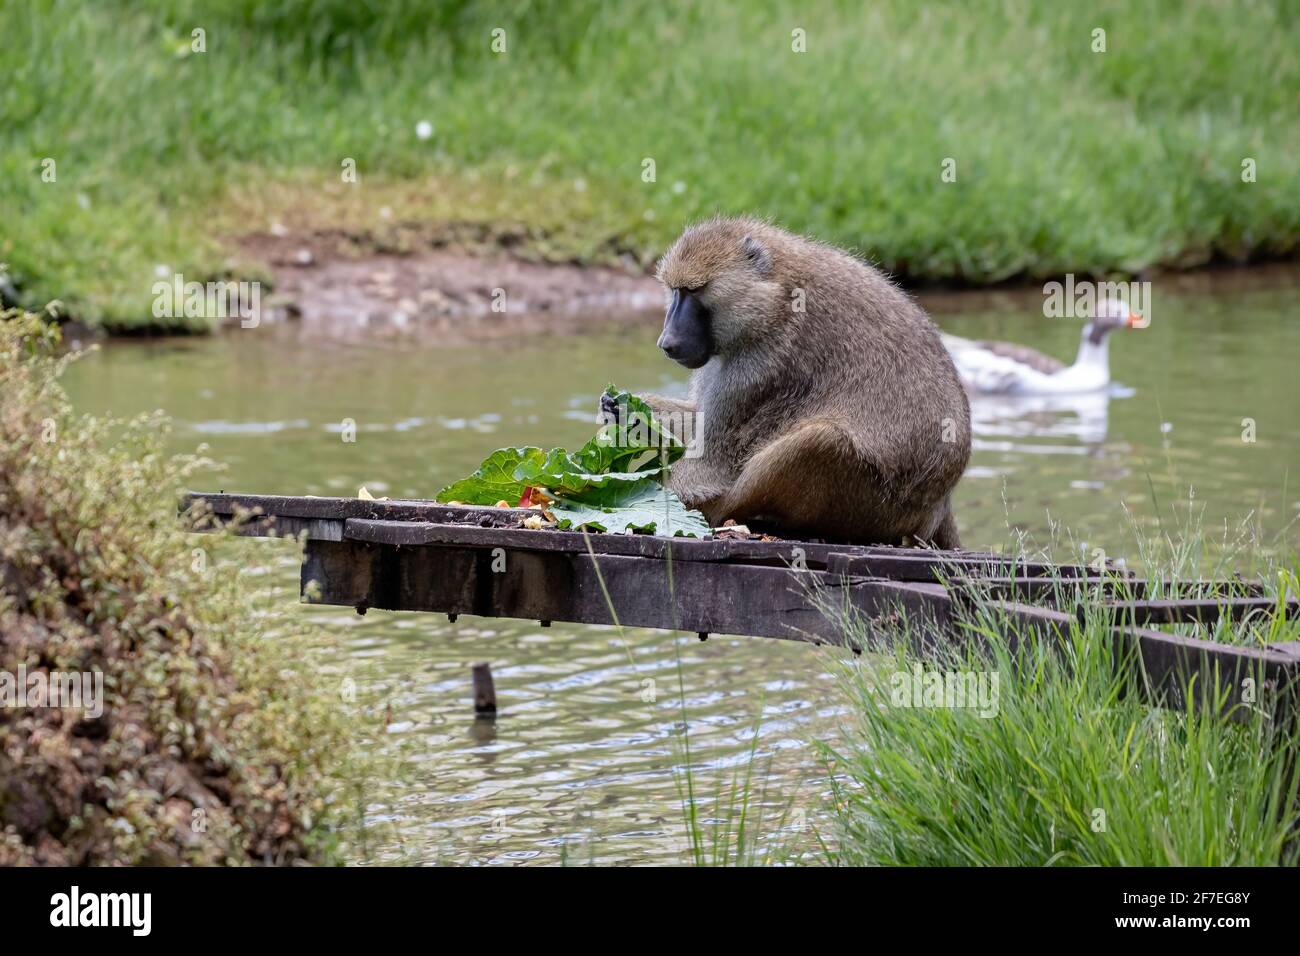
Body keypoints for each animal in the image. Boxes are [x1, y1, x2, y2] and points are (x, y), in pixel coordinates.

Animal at [602, 216, 971, 548]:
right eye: (675, 292)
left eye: (694, 292)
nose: (667, 342)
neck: (774, 300)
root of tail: (939, 504)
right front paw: (626, 409)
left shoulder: (758, 367)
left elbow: (708, 468)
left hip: (879, 508)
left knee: (817, 442)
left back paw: (724, 516)